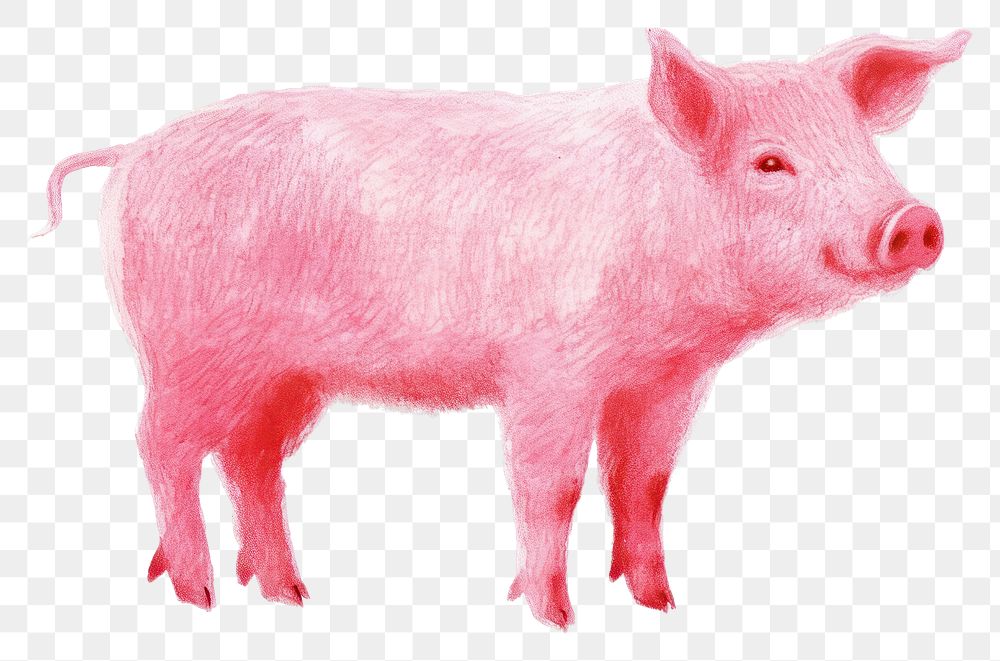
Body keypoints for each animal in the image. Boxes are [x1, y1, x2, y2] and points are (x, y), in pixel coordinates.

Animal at [36, 28, 968, 628]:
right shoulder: (551, 365)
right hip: (189, 348)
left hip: (286, 376)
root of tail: (134, 151)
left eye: (864, 149)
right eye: (771, 162)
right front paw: (553, 618)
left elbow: (644, 482)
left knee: (250, 459)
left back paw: (288, 596)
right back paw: (199, 597)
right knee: (162, 444)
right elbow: (552, 484)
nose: (914, 221)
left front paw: (661, 605)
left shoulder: (668, 377)